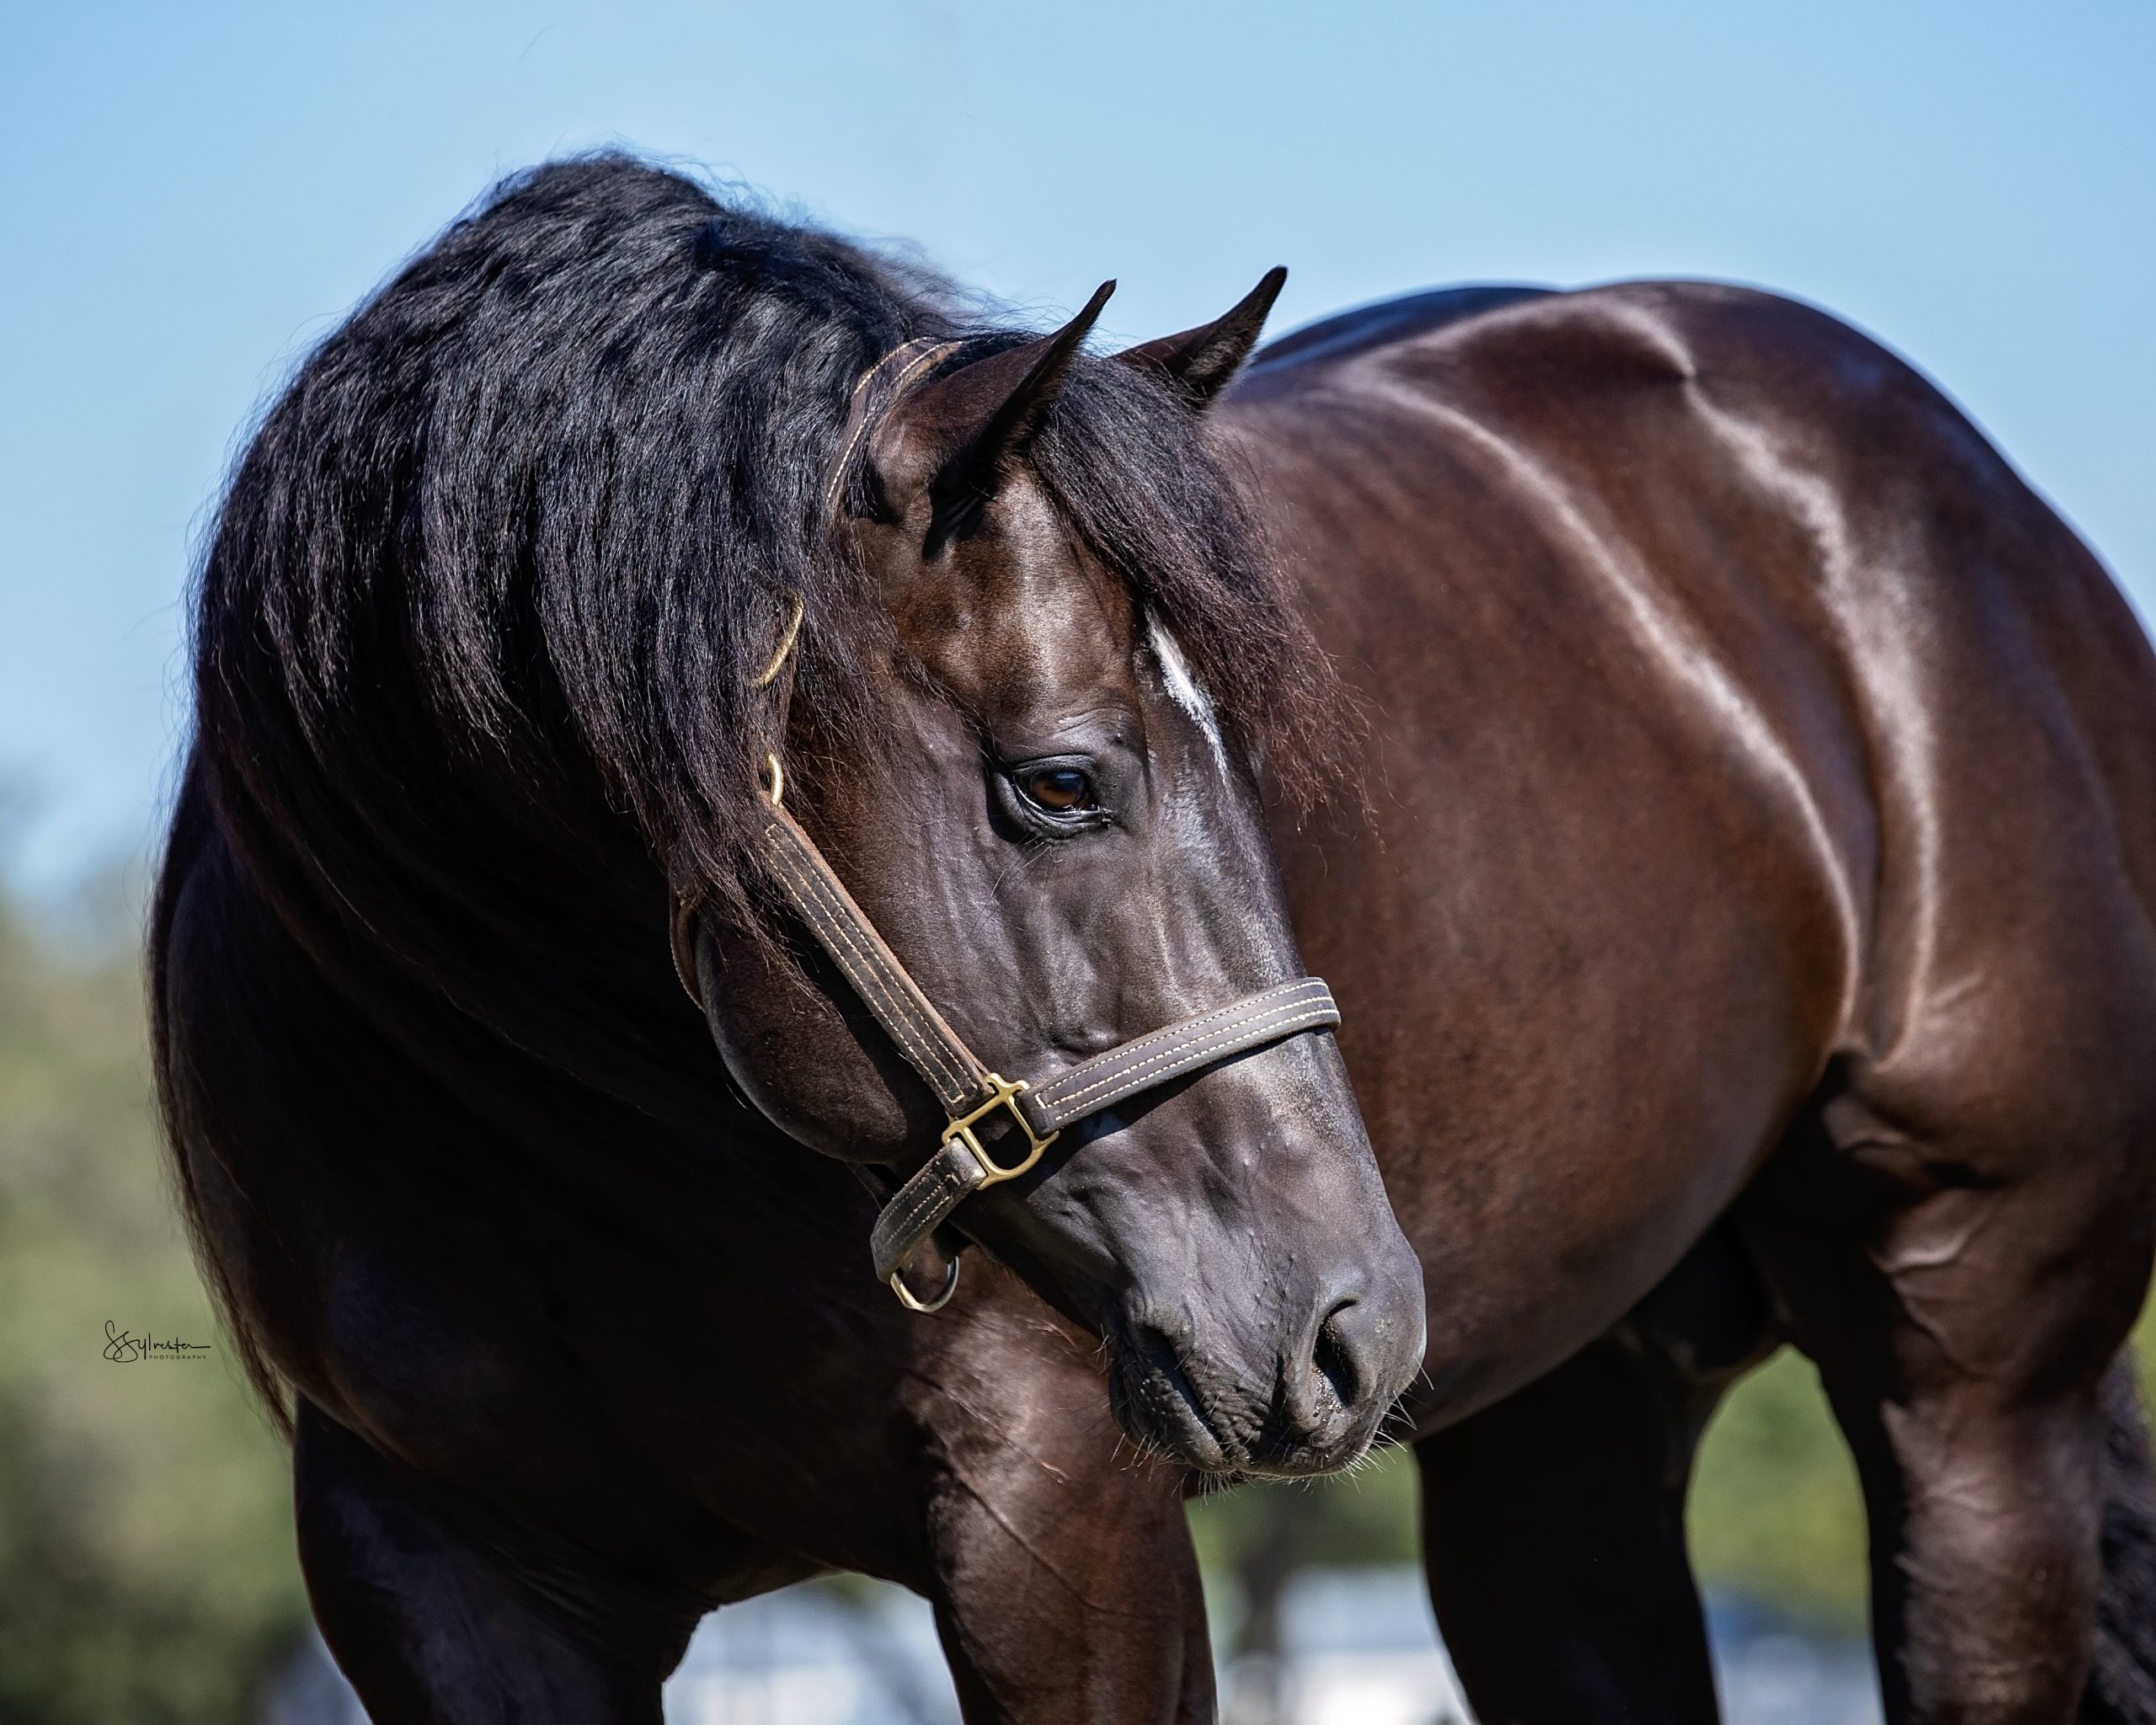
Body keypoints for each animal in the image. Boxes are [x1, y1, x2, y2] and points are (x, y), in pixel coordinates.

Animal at [151, 153, 2156, 1724]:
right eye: (1061, 782)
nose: (1350, 1320)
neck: (546, 1130)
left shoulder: (1064, 1532)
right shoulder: (443, 1583)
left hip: (1975, 1390)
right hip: (1565, 1435)